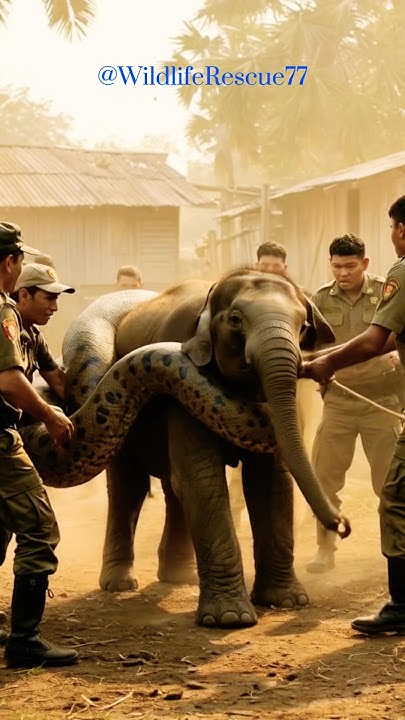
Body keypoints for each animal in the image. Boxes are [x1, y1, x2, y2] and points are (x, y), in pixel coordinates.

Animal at [27, 267, 346, 630]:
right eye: (236, 321)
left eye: (303, 325)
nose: (342, 524)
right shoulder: (179, 394)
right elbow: (201, 476)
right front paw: (230, 618)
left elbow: (270, 481)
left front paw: (287, 601)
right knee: (129, 487)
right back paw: (119, 583)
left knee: (172, 489)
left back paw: (180, 577)